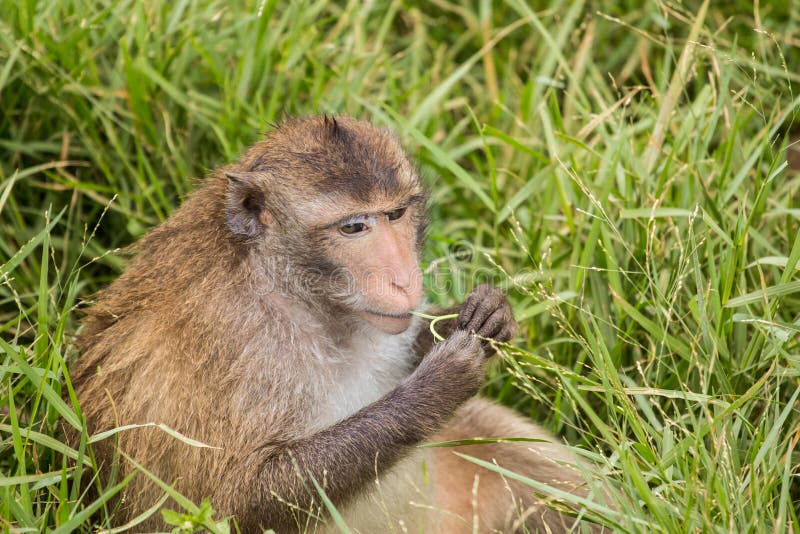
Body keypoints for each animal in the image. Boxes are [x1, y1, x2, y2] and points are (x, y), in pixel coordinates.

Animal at [71, 116, 603, 533]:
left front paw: (477, 316)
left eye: (395, 214)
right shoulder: (234, 342)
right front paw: (435, 388)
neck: (298, 295)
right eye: (353, 227)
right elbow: (229, 501)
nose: (404, 281)